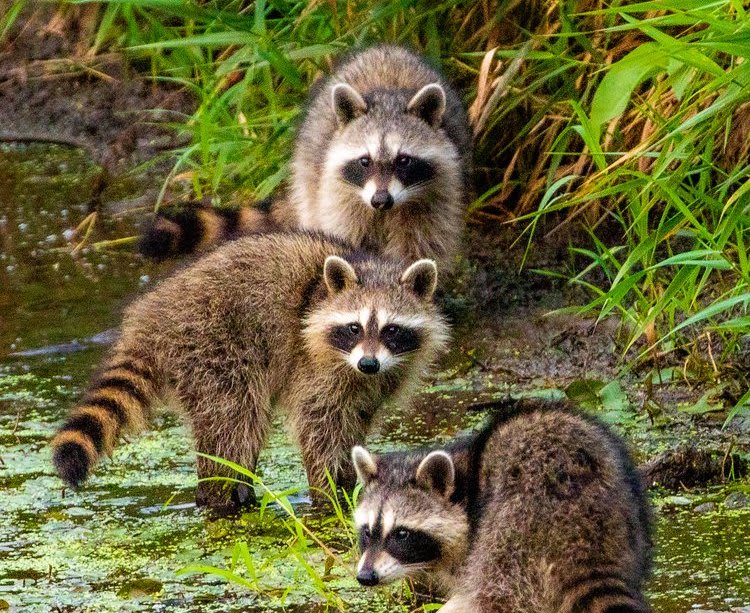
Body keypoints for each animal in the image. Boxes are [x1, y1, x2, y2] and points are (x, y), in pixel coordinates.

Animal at [52, 232, 449, 510]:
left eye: (391, 330)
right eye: (354, 328)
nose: (368, 363)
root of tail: (147, 320)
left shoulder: (377, 382)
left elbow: (355, 425)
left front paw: (352, 478)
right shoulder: (313, 367)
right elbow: (319, 426)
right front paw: (329, 493)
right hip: (212, 348)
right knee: (233, 422)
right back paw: (218, 496)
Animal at [140, 45, 472, 267]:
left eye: (403, 160)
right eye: (364, 161)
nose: (381, 200)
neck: (389, 96)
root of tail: (385, 48)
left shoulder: (438, 192)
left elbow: (422, 245)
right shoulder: (340, 194)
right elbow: (345, 240)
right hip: (311, 169)